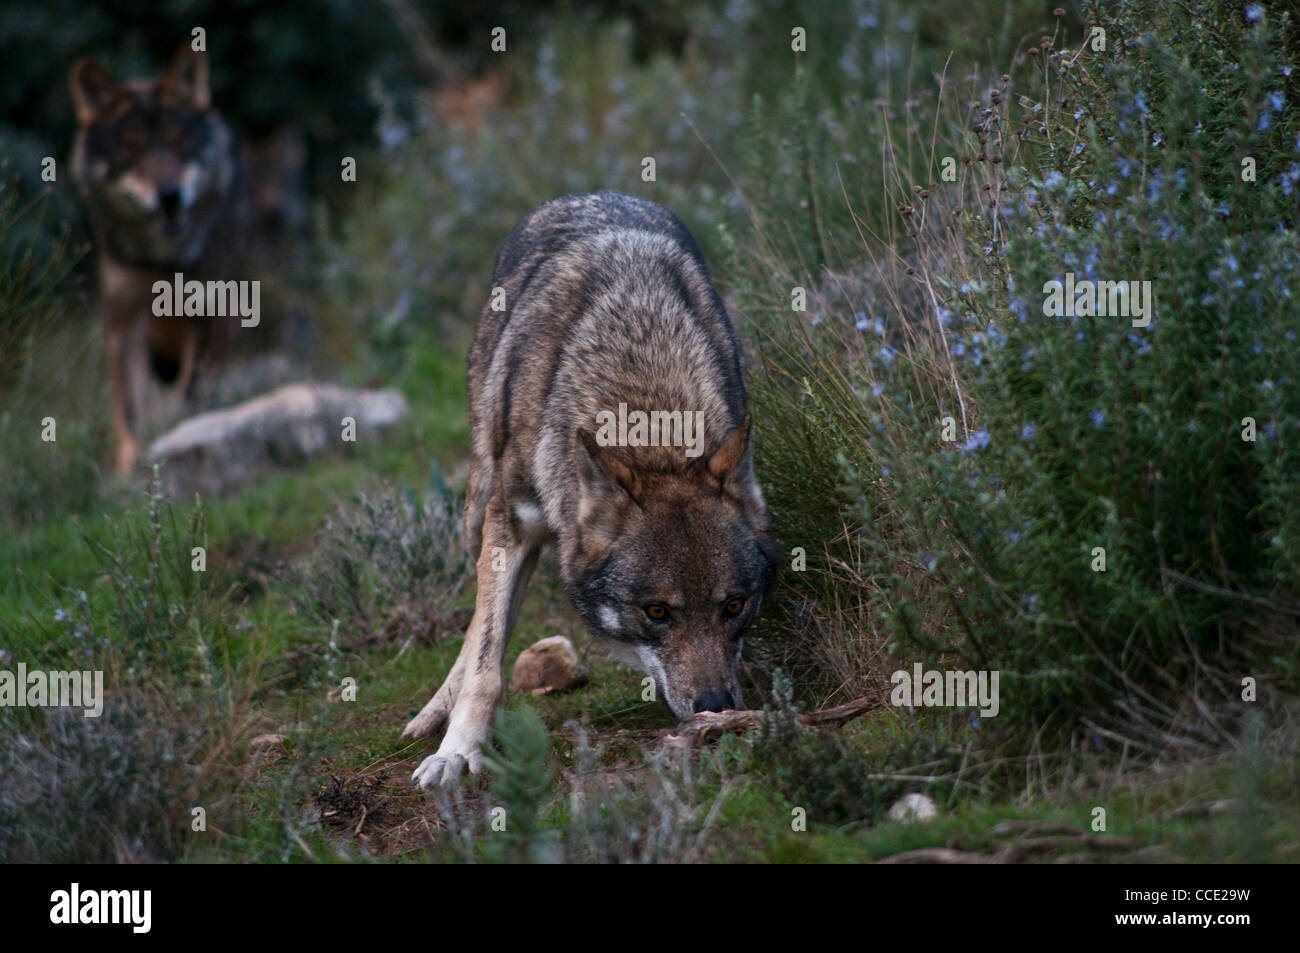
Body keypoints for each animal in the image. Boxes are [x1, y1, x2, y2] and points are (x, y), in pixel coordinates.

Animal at [70, 42, 250, 474]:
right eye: (131, 152)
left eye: (180, 144)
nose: (169, 196)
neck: (164, 259)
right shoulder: (123, 319)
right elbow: (129, 406)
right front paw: (131, 467)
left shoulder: (211, 307)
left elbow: (193, 388)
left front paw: (185, 430)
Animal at [404, 191, 779, 789]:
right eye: (656, 612)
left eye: (734, 605)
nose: (717, 706)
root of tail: (585, 197)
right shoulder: (509, 521)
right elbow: (486, 659)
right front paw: (456, 752)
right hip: (478, 504)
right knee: (477, 628)